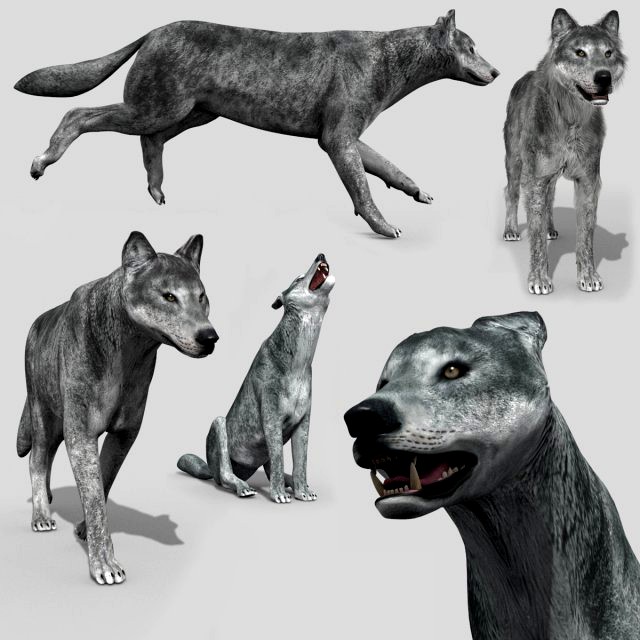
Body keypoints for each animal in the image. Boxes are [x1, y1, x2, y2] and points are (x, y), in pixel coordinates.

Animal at [14, 11, 498, 238]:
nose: (496, 71)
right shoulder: (337, 139)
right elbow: (363, 189)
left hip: (190, 112)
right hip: (157, 107)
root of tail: (151, 32)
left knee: (151, 142)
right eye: (471, 46)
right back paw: (42, 161)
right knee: (79, 115)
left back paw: (156, 190)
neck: (390, 61)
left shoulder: (348, 137)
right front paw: (385, 226)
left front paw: (419, 193)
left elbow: (390, 168)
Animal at [17, 231, 218, 585]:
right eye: (169, 296)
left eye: (202, 296)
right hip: (43, 417)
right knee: (37, 459)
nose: (210, 337)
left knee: (47, 457)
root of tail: (36, 322)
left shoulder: (124, 432)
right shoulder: (81, 433)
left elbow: (105, 478)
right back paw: (41, 515)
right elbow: (94, 492)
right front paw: (104, 565)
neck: (130, 351)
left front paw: (84, 530)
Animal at [177, 254, 333, 503]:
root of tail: (209, 469)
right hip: (219, 425)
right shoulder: (271, 418)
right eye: (298, 278)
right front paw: (280, 495)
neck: (299, 361)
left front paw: (303, 491)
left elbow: (300, 462)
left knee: (271, 469)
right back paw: (244, 486)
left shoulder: (303, 423)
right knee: (226, 473)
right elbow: (279, 459)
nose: (321, 255)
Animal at [503, 9, 625, 294]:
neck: (572, 117)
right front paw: (539, 280)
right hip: (514, 164)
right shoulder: (535, 179)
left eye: (608, 53)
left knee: (549, 201)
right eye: (579, 52)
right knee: (511, 194)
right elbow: (536, 239)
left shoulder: (588, 181)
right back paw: (511, 230)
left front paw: (588, 277)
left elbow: (586, 235)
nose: (604, 77)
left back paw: (551, 229)